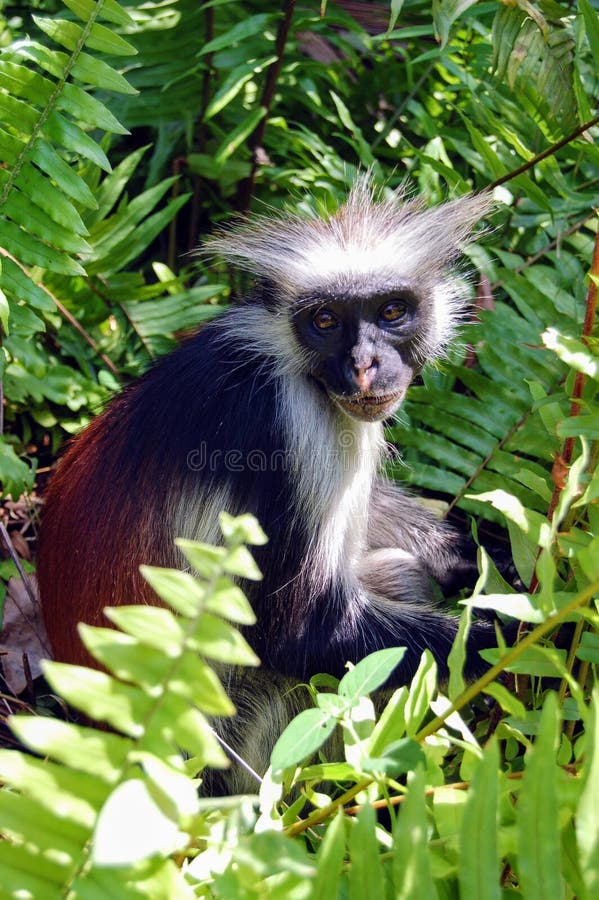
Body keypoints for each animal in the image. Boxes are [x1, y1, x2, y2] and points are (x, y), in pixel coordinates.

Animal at [37, 182, 508, 793]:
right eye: (326, 320)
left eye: (391, 312)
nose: (364, 365)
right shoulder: (296, 421)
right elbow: (301, 637)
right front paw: (524, 634)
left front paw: (478, 556)